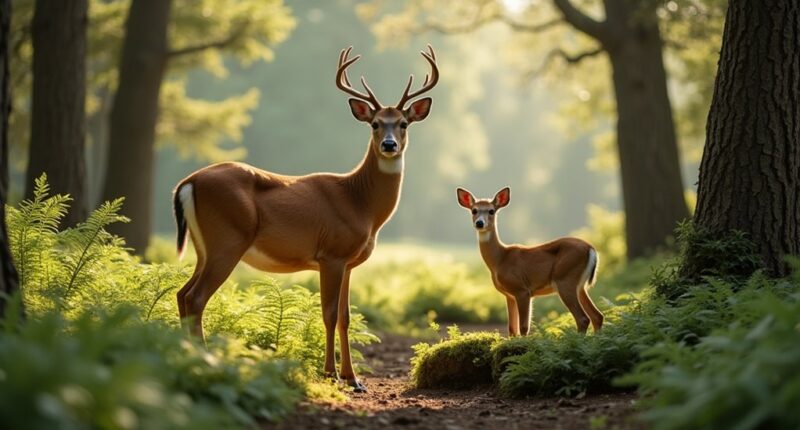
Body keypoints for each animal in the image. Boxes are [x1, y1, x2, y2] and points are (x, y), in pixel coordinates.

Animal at [172, 46, 439, 392]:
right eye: (375, 124)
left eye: (404, 123)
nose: (389, 145)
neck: (361, 204)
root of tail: (187, 182)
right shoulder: (331, 255)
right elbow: (328, 313)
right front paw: (331, 374)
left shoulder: (349, 262)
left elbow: (346, 317)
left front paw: (354, 379)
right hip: (227, 240)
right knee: (196, 297)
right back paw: (202, 360)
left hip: (204, 246)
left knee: (182, 293)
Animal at [456, 187, 603, 336]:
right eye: (474, 210)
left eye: (491, 211)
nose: (480, 223)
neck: (500, 259)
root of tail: (591, 249)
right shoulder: (509, 295)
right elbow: (512, 329)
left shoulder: (522, 290)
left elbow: (523, 328)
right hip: (580, 286)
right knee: (597, 316)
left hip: (565, 279)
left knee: (583, 318)